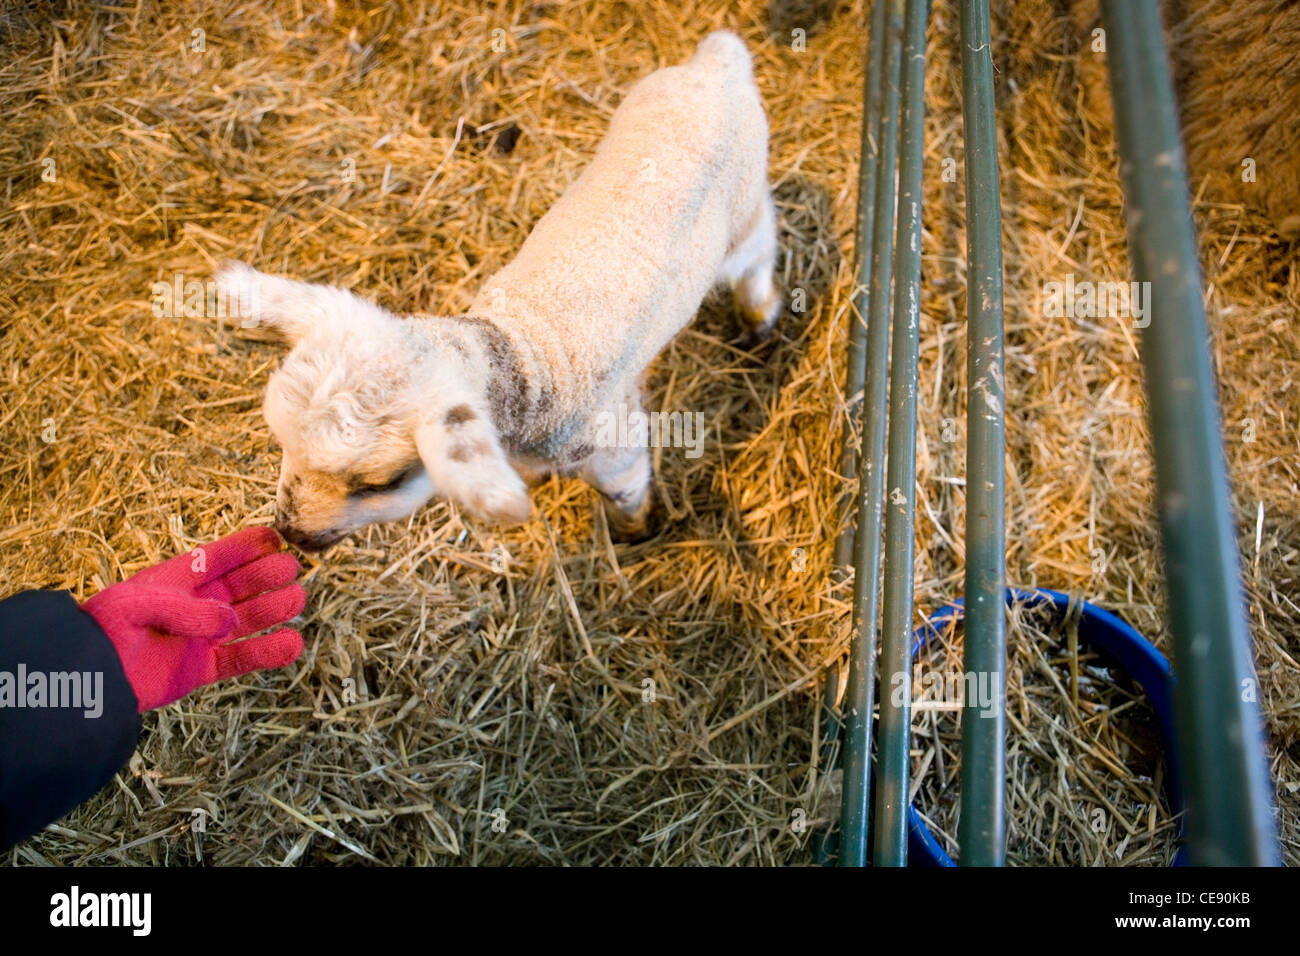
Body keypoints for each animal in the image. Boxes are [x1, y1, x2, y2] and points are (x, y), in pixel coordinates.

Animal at [216, 30, 781, 551]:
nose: (290, 533)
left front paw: (635, 534)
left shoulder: (614, 449)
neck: (522, 354)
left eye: (380, 484)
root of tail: (717, 62)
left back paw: (760, 319)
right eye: (280, 441)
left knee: (759, 253)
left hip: (746, 206)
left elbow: (627, 493)